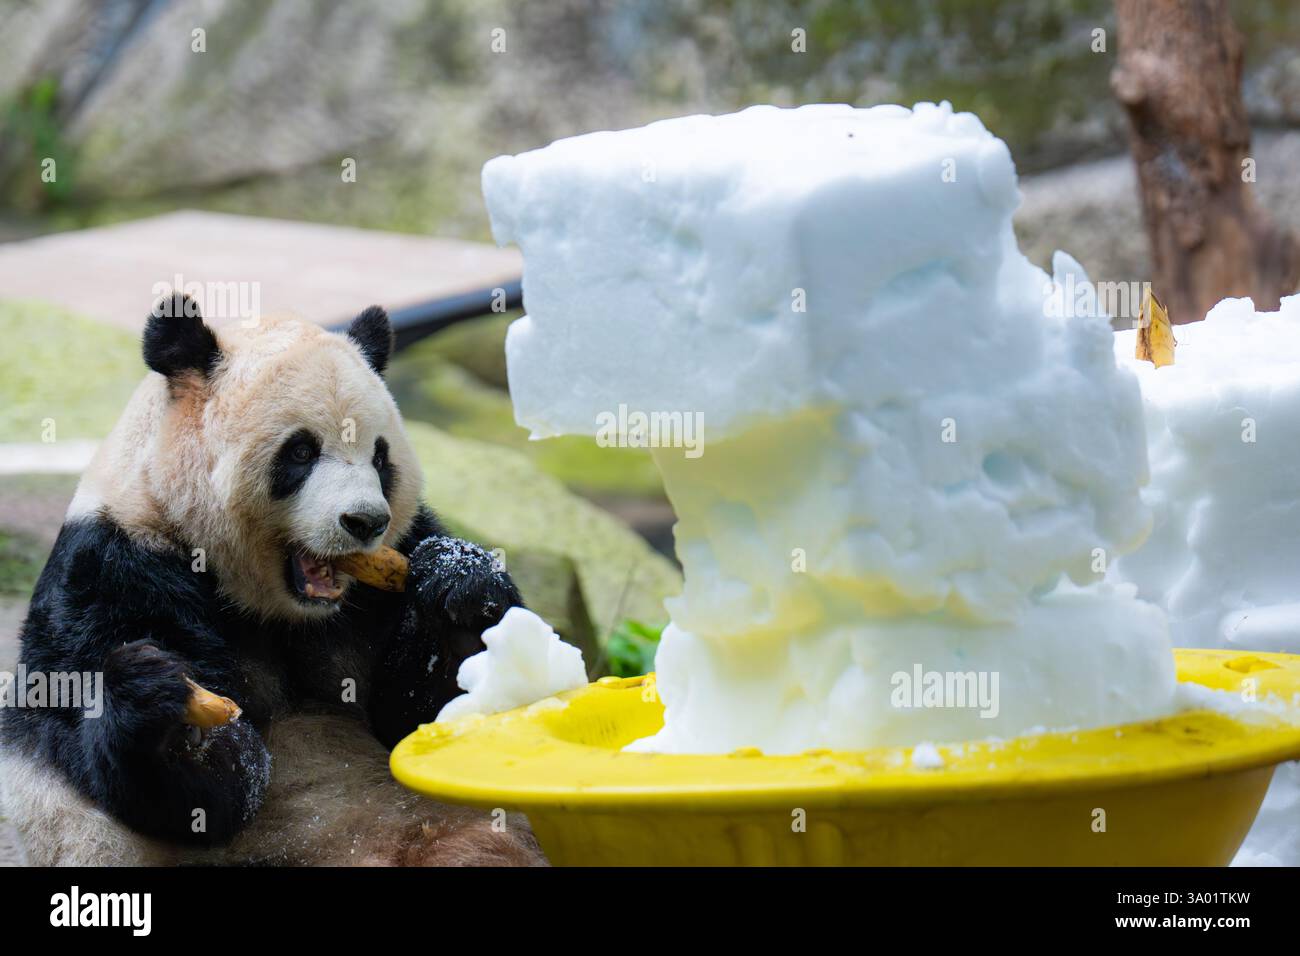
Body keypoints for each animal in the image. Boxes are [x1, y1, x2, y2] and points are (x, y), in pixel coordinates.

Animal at [0, 295, 545, 866]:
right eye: (301, 451)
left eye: (380, 456)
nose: (366, 522)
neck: (274, 605)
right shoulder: (113, 571)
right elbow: (223, 789)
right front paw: (160, 707)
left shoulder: (396, 563)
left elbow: (417, 719)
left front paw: (461, 593)